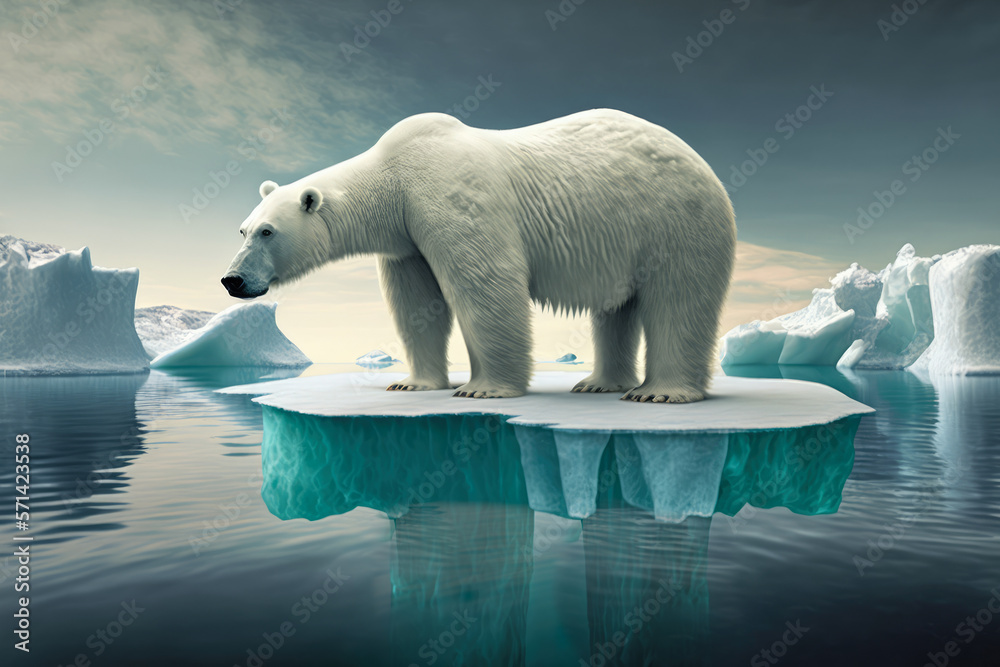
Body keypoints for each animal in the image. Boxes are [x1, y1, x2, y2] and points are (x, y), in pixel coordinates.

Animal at [222, 109, 736, 402]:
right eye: (243, 229)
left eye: (268, 232)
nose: (233, 280)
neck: (394, 177)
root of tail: (700, 160)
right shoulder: (405, 240)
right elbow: (415, 305)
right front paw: (412, 383)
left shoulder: (451, 197)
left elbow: (485, 286)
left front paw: (482, 388)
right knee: (615, 309)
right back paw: (600, 383)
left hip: (673, 219)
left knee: (678, 300)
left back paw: (660, 394)